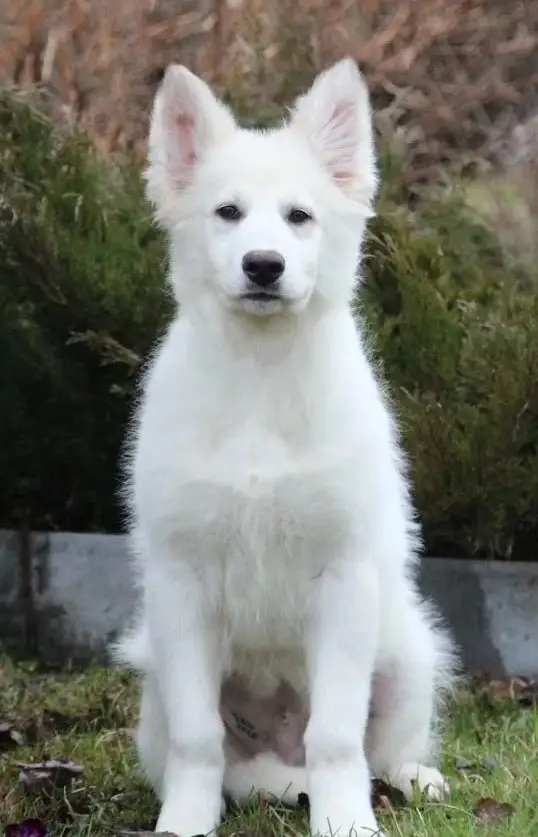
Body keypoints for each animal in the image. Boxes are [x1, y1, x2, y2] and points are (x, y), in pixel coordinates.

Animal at [116, 58, 452, 836]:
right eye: (227, 213)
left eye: (299, 216)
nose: (263, 266)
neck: (261, 383)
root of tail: (278, 762)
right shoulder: (181, 585)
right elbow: (199, 738)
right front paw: (184, 822)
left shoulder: (344, 579)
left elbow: (336, 734)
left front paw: (346, 822)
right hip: (154, 682)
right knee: (217, 759)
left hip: (407, 652)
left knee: (383, 750)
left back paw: (411, 779)